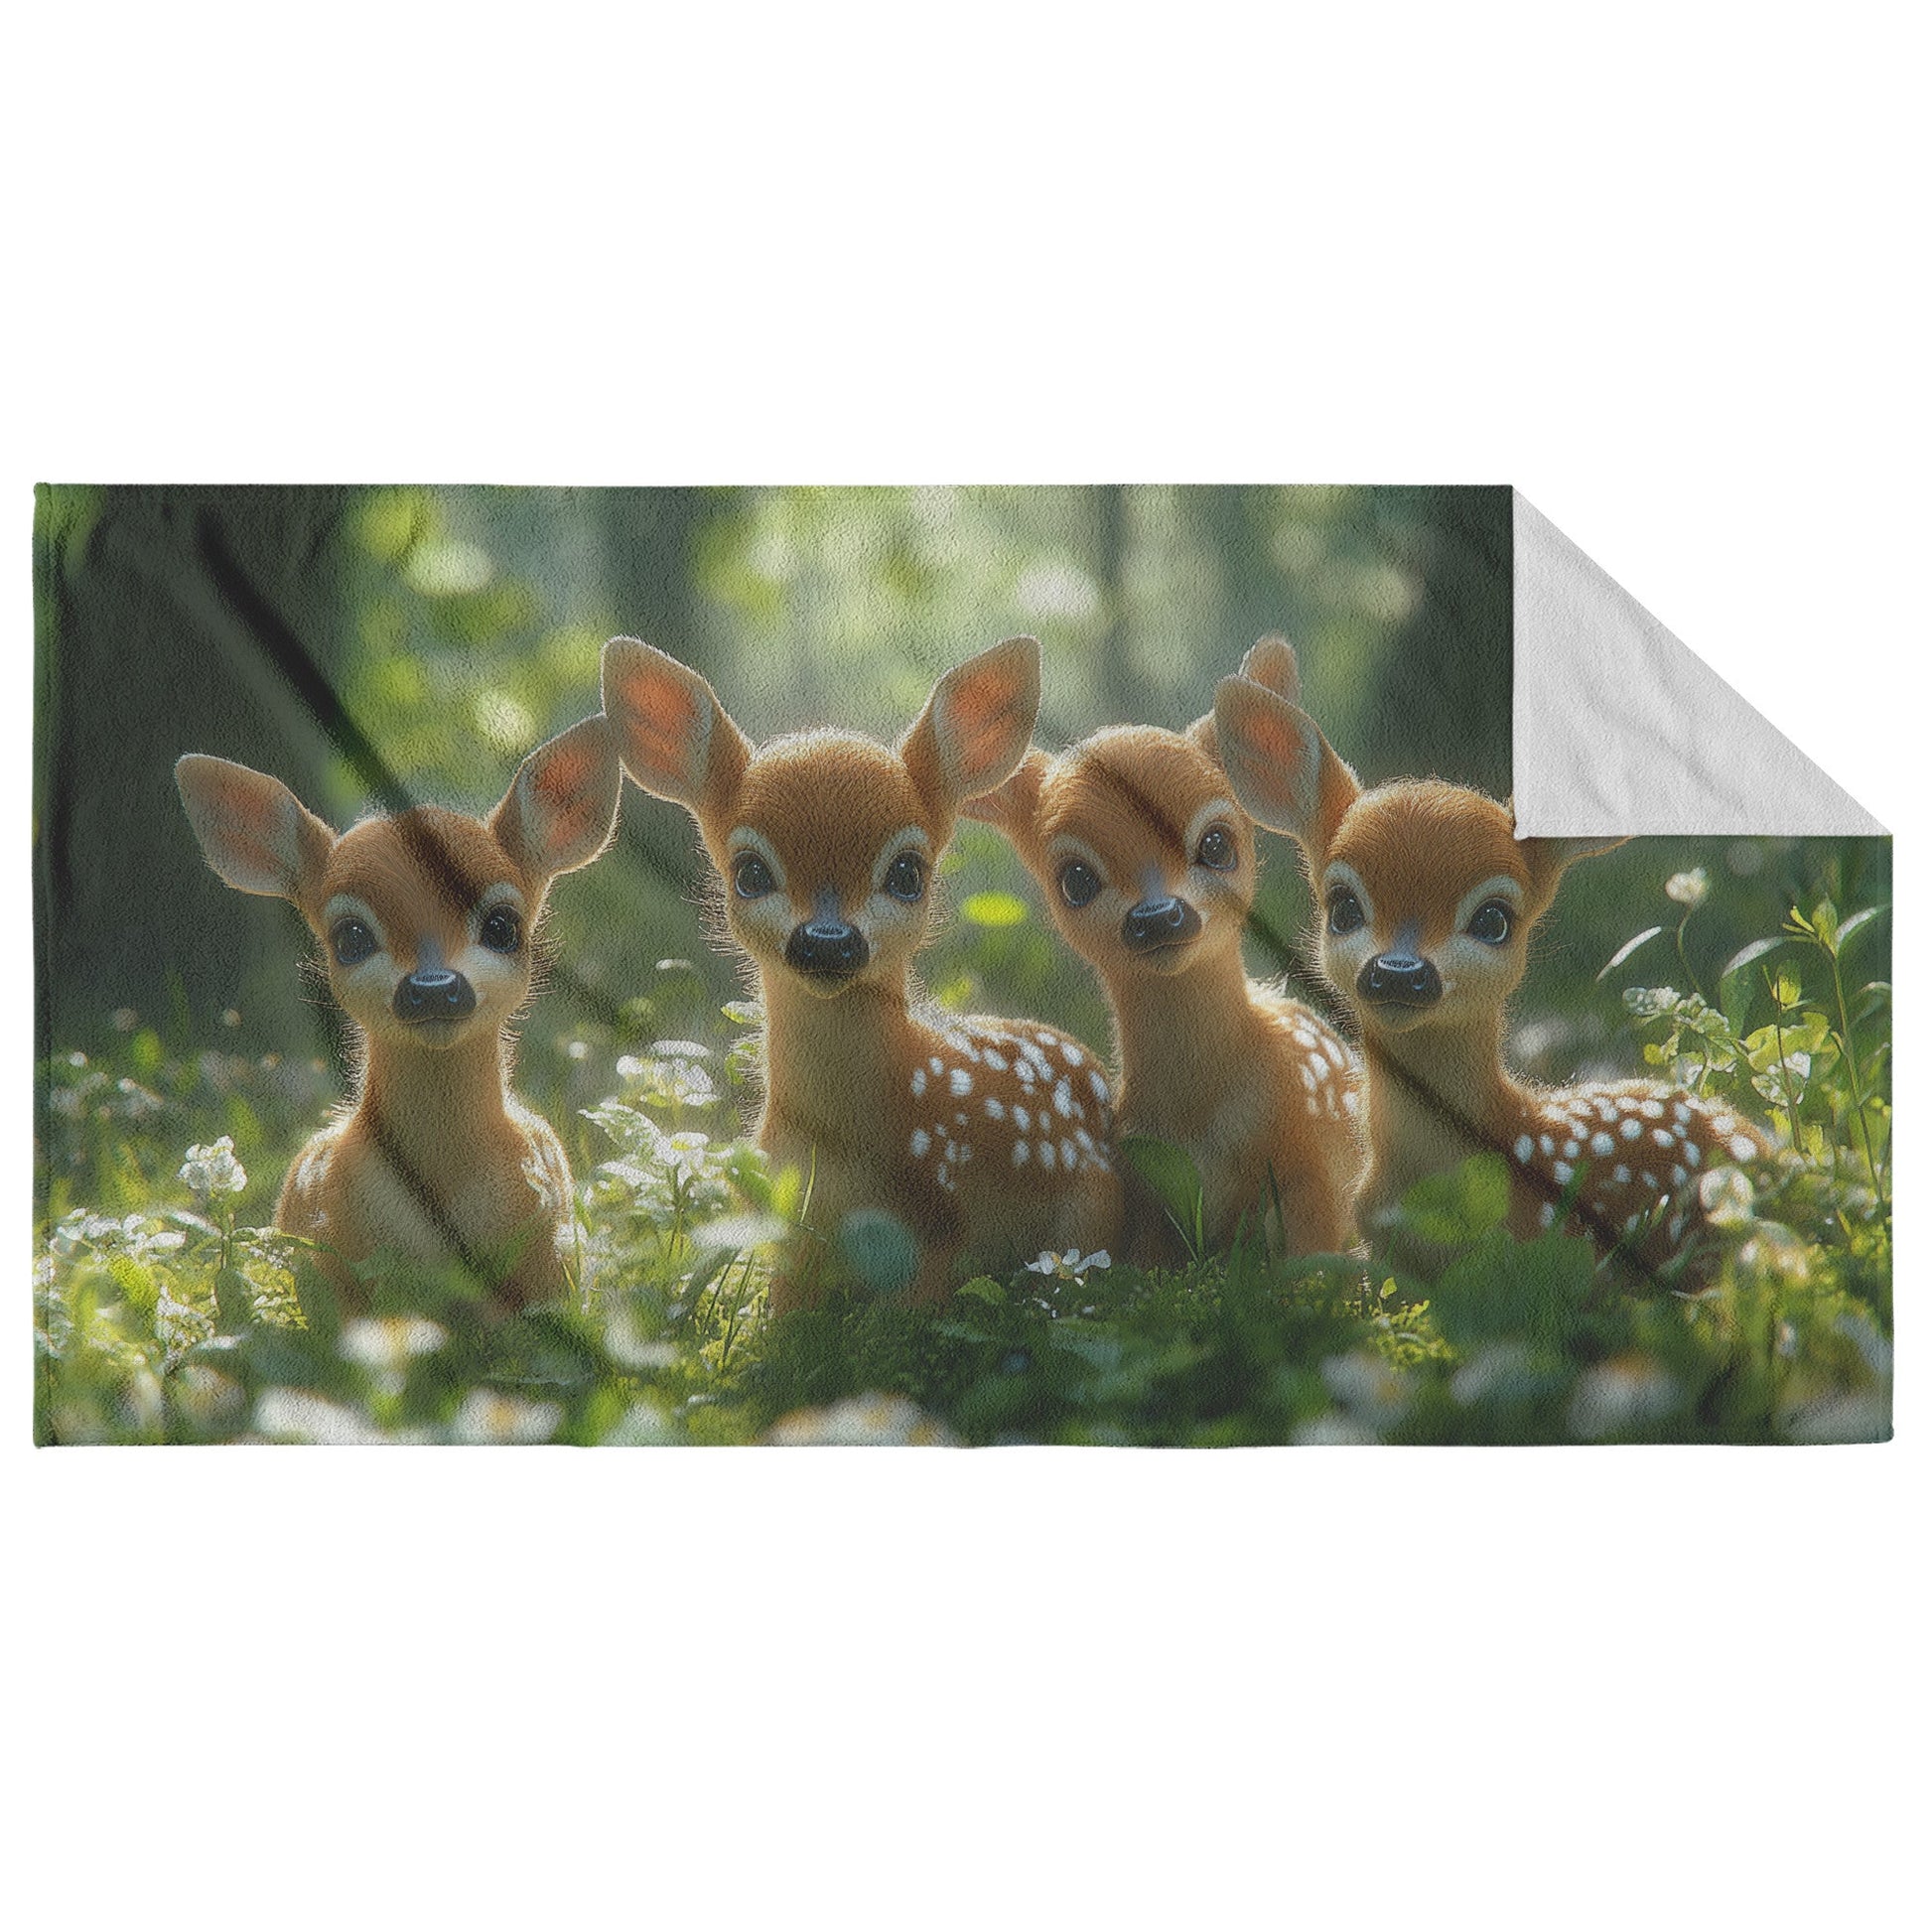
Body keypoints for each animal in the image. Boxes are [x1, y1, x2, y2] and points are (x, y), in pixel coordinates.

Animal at [962, 637, 1364, 1263]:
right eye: (1075, 878)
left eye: (1217, 844)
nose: (1156, 917)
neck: (1202, 1116)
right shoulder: (1148, 1191)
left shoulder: (1312, 1163)